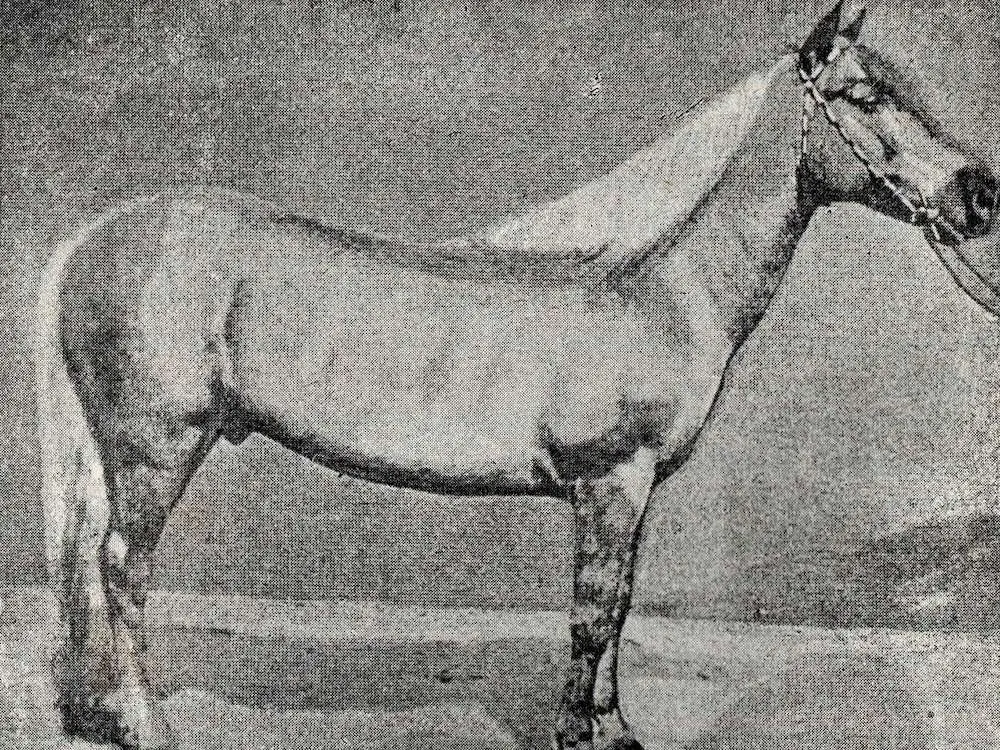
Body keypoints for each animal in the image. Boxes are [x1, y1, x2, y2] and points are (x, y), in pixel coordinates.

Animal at [34, 3, 1000, 748]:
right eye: (865, 96)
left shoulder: (635, 490)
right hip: (158, 450)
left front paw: (614, 729)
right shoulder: (609, 480)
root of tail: (93, 238)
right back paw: (149, 725)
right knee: (121, 569)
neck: (653, 285)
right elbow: (592, 612)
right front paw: (577, 732)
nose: (978, 194)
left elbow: (619, 609)